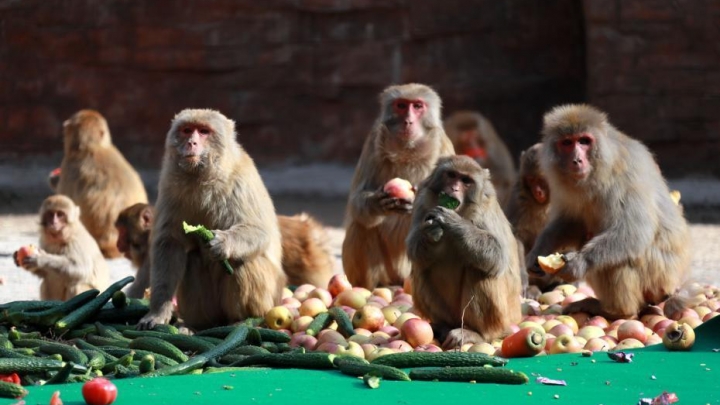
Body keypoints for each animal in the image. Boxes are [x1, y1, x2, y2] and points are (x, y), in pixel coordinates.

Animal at [137, 109, 286, 331]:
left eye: (204, 131)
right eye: (187, 130)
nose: (191, 142)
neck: (202, 176)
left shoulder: (241, 182)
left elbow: (260, 231)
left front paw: (223, 243)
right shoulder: (169, 185)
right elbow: (169, 243)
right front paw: (158, 312)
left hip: (270, 298)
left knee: (241, 262)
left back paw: (243, 320)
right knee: (192, 259)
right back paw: (199, 325)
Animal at [342, 83, 455, 289]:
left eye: (417, 106)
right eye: (401, 106)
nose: (408, 121)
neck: (407, 151)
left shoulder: (445, 147)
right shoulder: (372, 141)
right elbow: (356, 201)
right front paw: (377, 203)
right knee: (362, 225)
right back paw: (367, 288)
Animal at [406, 155, 523, 349]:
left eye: (466, 181)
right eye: (452, 175)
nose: (454, 188)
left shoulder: (485, 208)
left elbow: (498, 257)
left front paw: (454, 222)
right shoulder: (422, 200)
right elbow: (413, 249)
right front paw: (431, 231)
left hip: (503, 317)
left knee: (479, 271)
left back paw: (477, 334)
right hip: (453, 315)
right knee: (421, 268)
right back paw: (443, 327)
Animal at [526, 104, 690, 319]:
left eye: (584, 141)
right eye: (567, 143)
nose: (577, 160)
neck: (598, 168)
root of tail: (673, 284)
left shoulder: (623, 178)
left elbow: (635, 231)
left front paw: (580, 262)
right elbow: (570, 222)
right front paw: (538, 252)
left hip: (656, 277)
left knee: (617, 259)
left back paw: (617, 312)